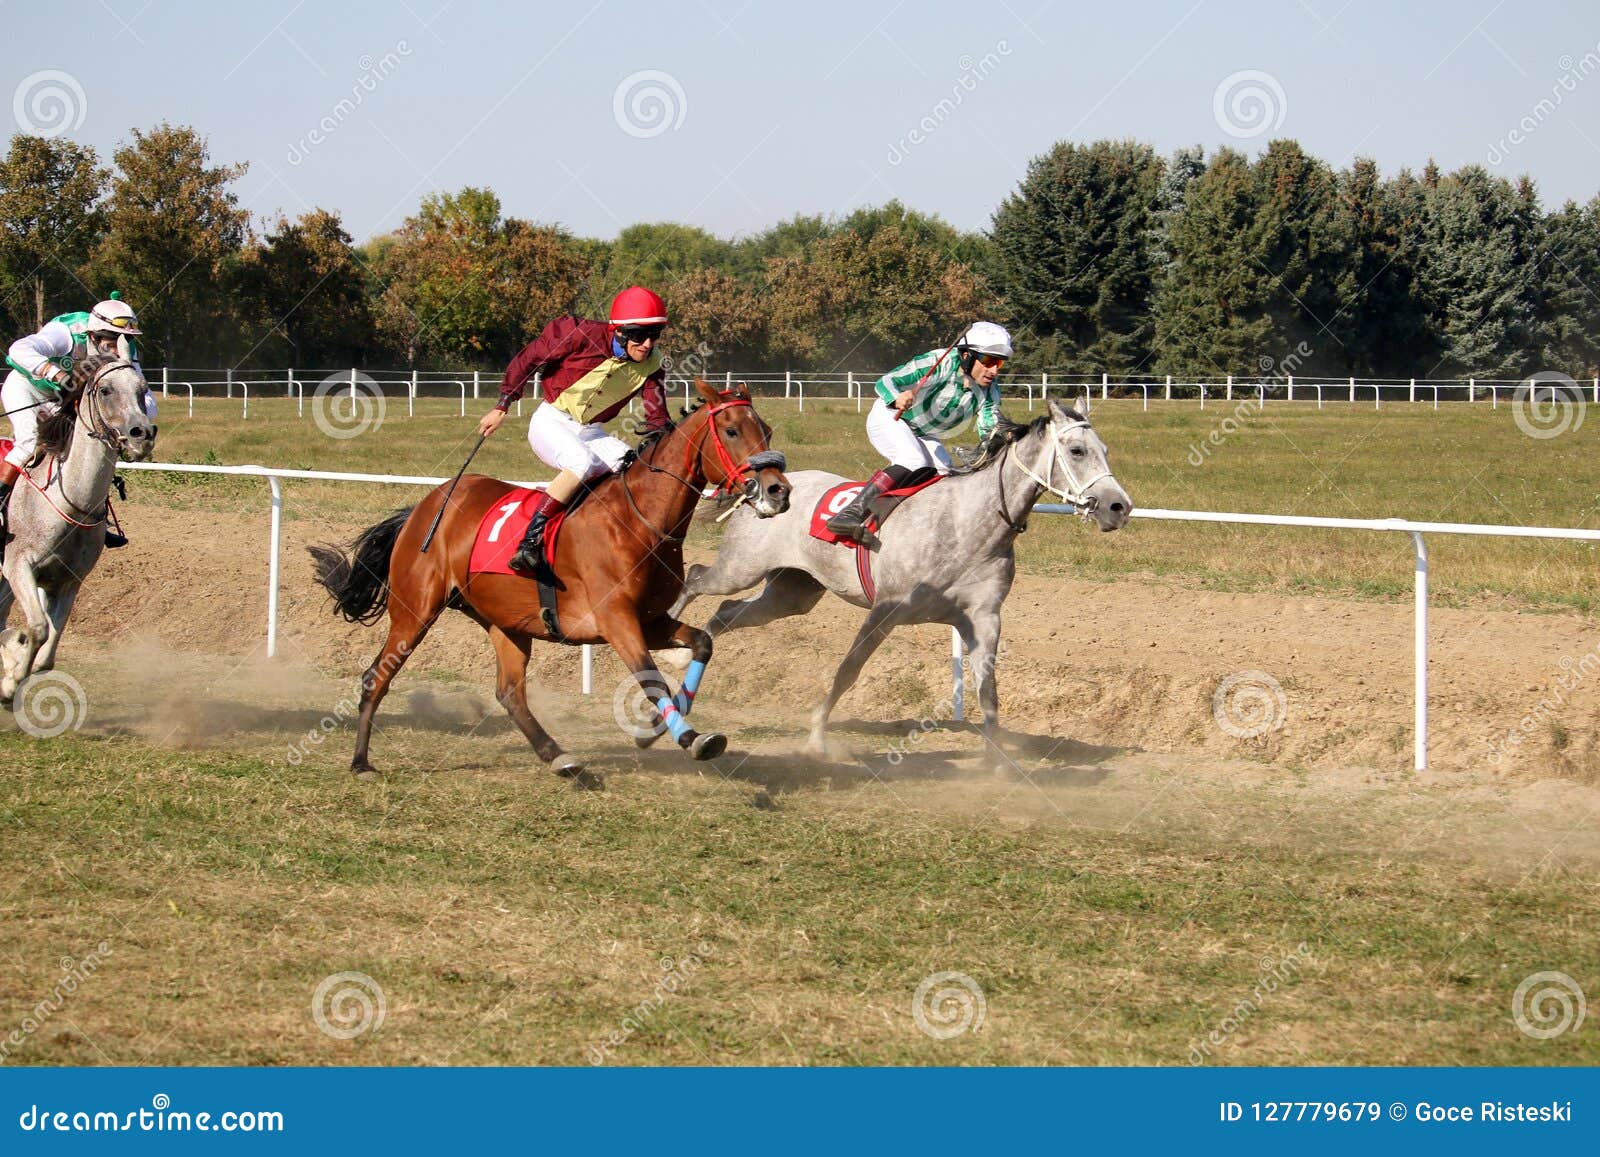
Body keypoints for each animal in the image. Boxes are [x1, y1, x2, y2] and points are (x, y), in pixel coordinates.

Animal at [1, 354, 157, 705]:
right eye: (105, 389)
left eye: (143, 389)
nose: (142, 434)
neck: (70, 501)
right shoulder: (18, 564)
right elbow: (38, 628)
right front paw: (10, 682)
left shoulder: (68, 581)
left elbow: (46, 655)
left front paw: (15, 668)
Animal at [309, 378, 791, 784]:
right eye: (732, 430)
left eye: (766, 430)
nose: (778, 491)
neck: (640, 520)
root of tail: (424, 507)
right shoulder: (617, 621)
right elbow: (649, 677)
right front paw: (692, 738)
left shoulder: (651, 620)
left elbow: (702, 644)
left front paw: (654, 728)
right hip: (416, 610)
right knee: (376, 676)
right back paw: (360, 761)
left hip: (505, 622)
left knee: (509, 692)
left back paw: (560, 758)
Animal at [670, 399, 1132, 764]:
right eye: (1076, 450)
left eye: (1106, 450)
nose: (1119, 506)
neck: (967, 524)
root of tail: (760, 484)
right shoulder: (887, 609)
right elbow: (848, 671)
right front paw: (817, 738)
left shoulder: (983, 617)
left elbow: (988, 692)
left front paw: (997, 763)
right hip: (740, 567)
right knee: (695, 578)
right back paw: (673, 650)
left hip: (792, 593)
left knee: (726, 613)